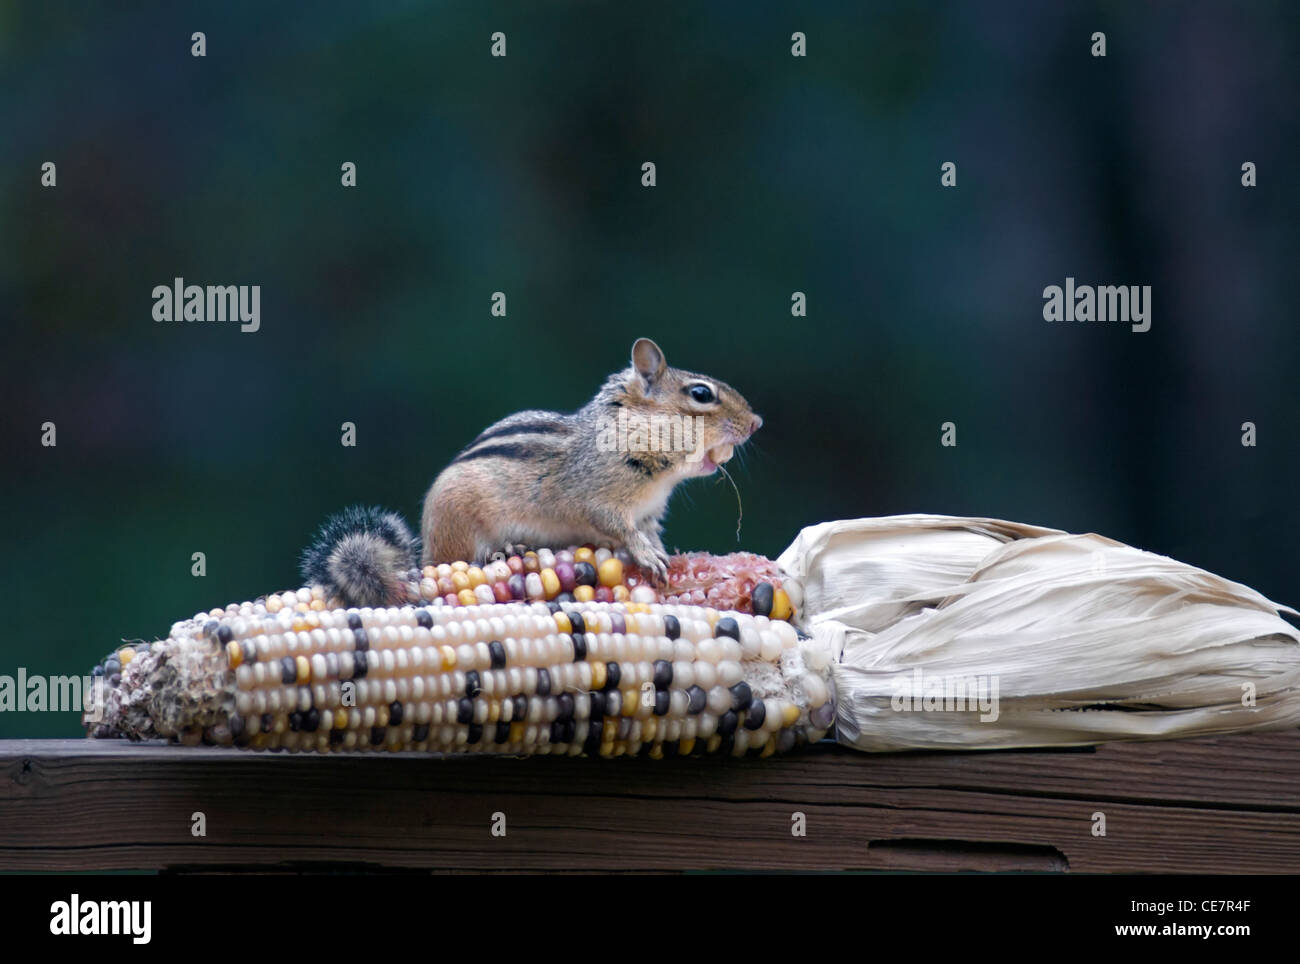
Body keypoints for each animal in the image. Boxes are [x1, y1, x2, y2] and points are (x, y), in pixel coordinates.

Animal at [300, 337, 761, 607]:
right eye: (700, 394)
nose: (757, 423)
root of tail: (427, 553)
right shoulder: (595, 497)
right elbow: (618, 528)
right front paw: (647, 555)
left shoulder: (649, 514)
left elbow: (649, 533)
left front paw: (665, 555)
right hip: (458, 526)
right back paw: (503, 553)